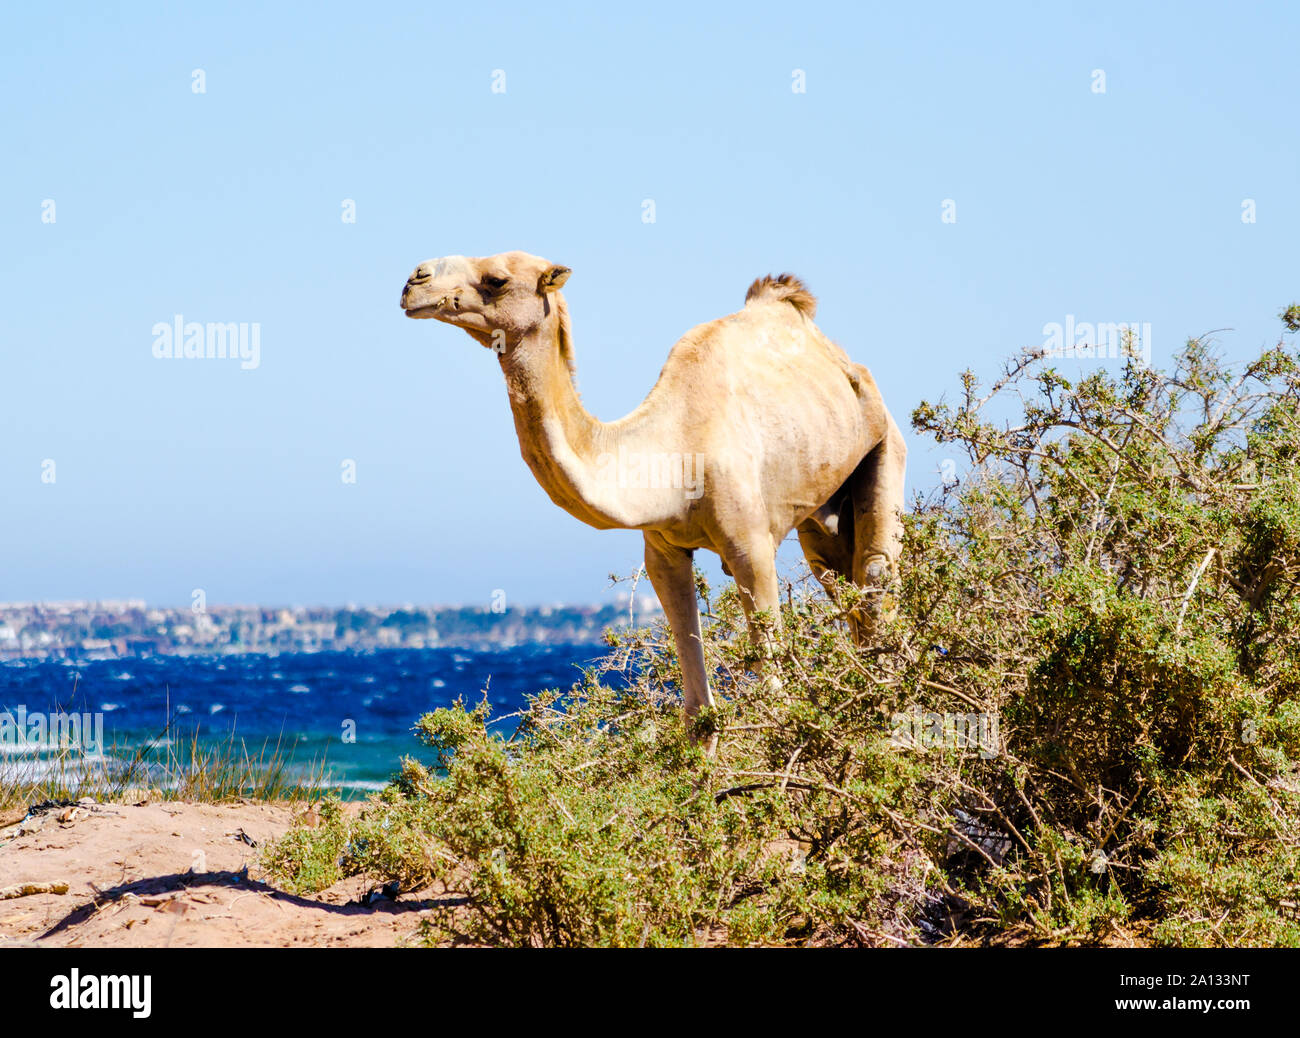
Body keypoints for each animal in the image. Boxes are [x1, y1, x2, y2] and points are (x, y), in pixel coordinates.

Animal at [401, 251, 905, 721]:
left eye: (497, 279)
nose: (414, 281)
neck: (673, 451)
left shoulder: (751, 546)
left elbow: (776, 693)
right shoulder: (662, 548)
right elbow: (699, 709)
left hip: (886, 446)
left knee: (875, 579)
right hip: (822, 513)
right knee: (841, 582)